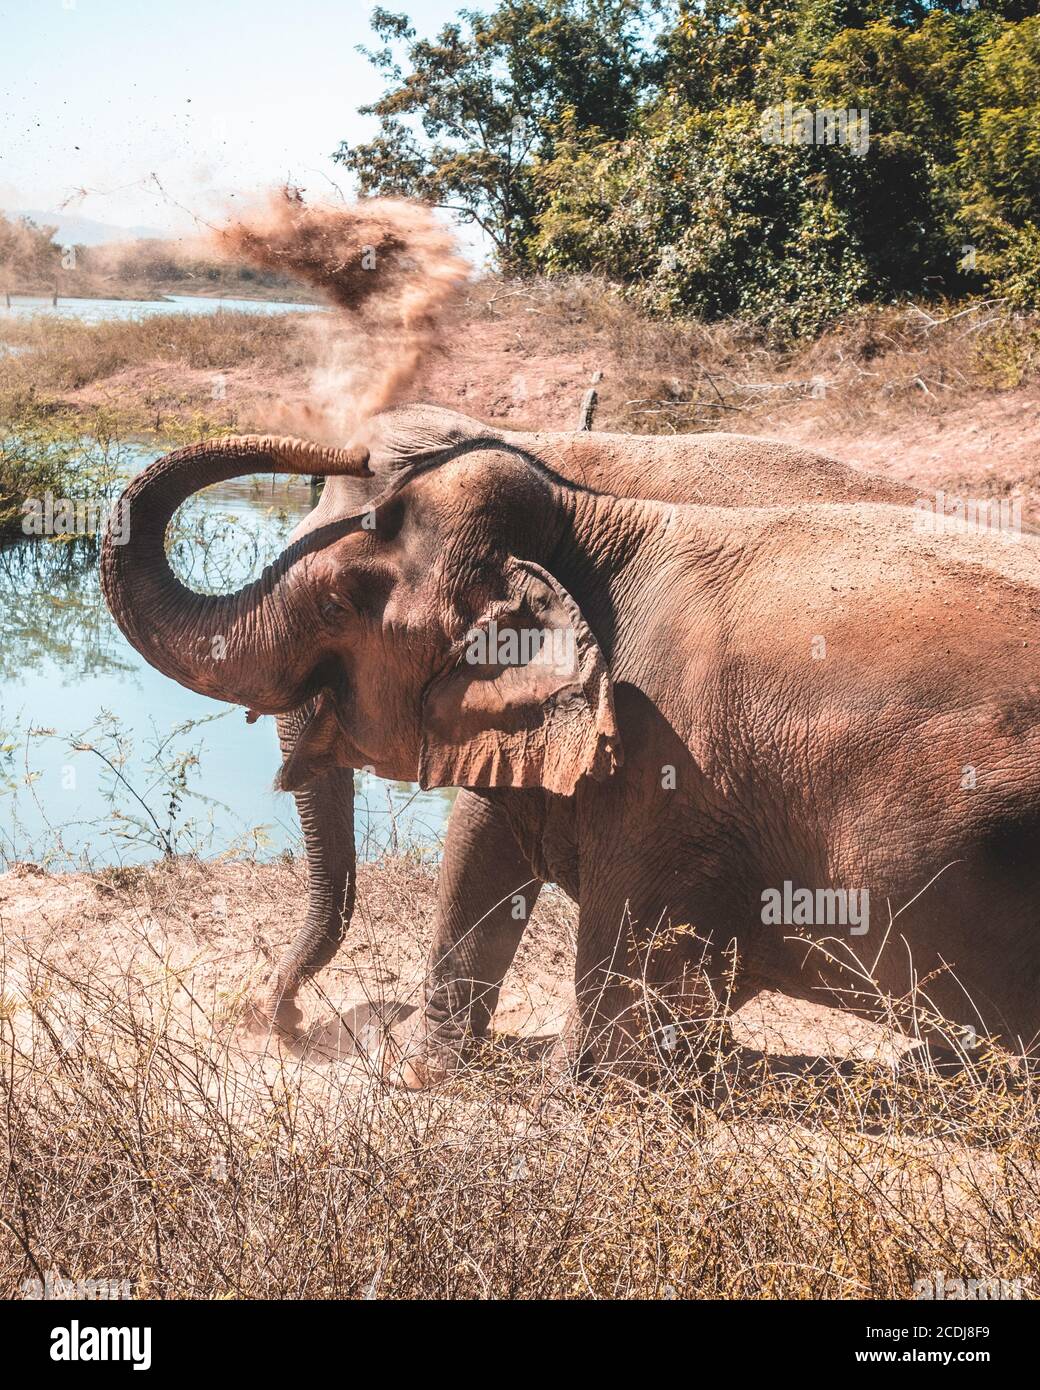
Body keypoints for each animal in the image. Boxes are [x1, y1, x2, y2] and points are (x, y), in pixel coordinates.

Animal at [100, 408, 1040, 1083]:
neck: (588, 519)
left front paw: (565, 1085)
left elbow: (615, 918)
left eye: (336, 606)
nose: (279, 1020)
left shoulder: (670, 758)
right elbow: (478, 847)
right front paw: (421, 1069)